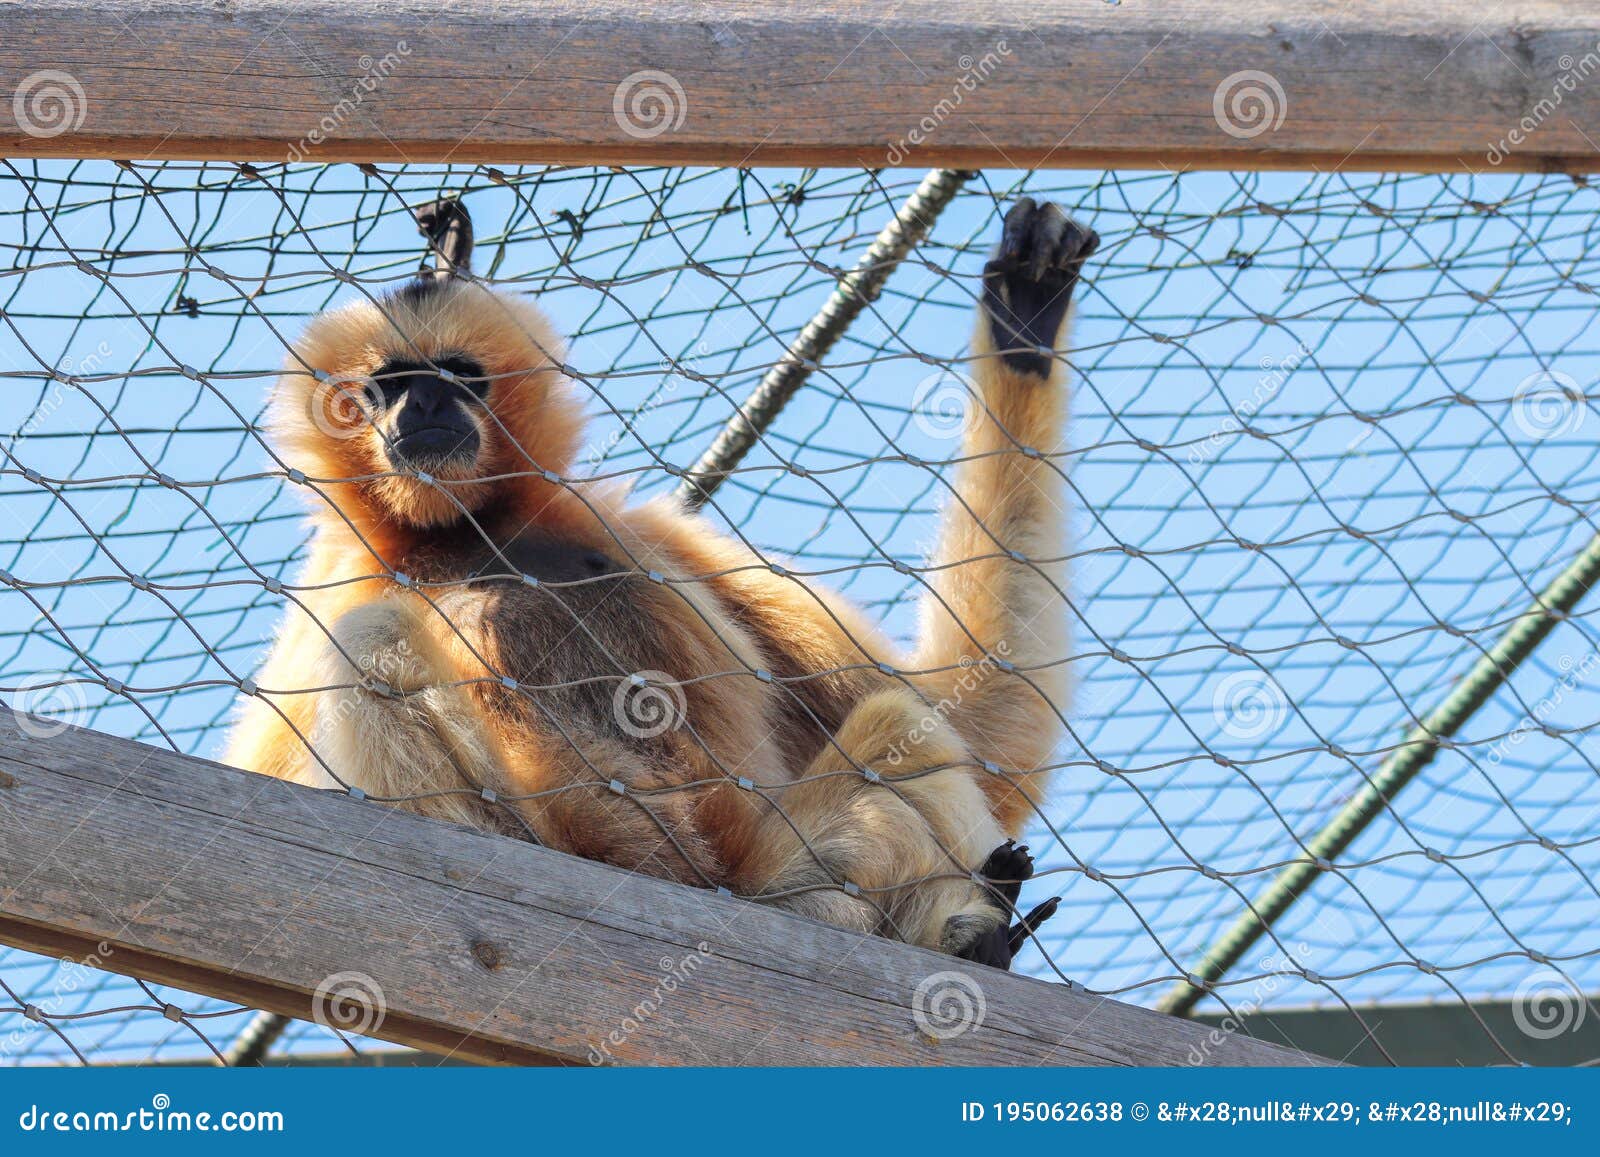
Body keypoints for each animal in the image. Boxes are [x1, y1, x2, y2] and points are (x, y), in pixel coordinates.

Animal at [224, 194, 1097, 969]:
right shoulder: (340, 576)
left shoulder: (634, 526)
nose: (425, 406)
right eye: (392, 382)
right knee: (375, 637)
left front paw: (1026, 325)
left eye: (457, 375)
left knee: (899, 720)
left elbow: (981, 729)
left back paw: (976, 939)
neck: (467, 537)